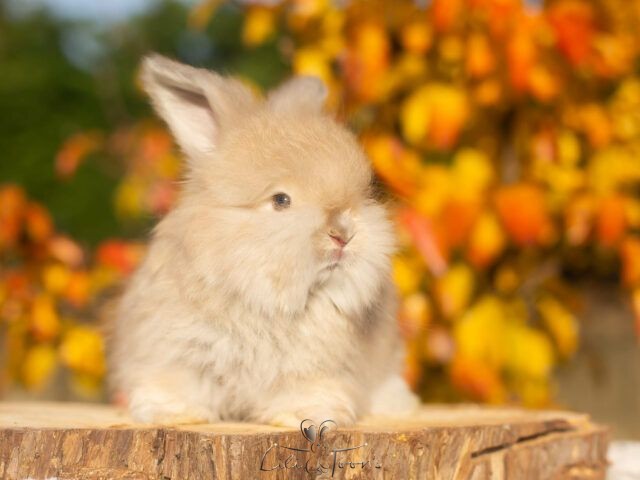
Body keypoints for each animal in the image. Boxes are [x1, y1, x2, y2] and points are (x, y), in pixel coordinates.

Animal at [107, 54, 419, 427]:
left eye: (362, 193)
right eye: (281, 200)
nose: (343, 234)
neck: (265, 303)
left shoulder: (315, 369)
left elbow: (310, 393)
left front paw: (307, 417)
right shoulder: (176, 351)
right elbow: (178, 384)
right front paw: (173, 414)